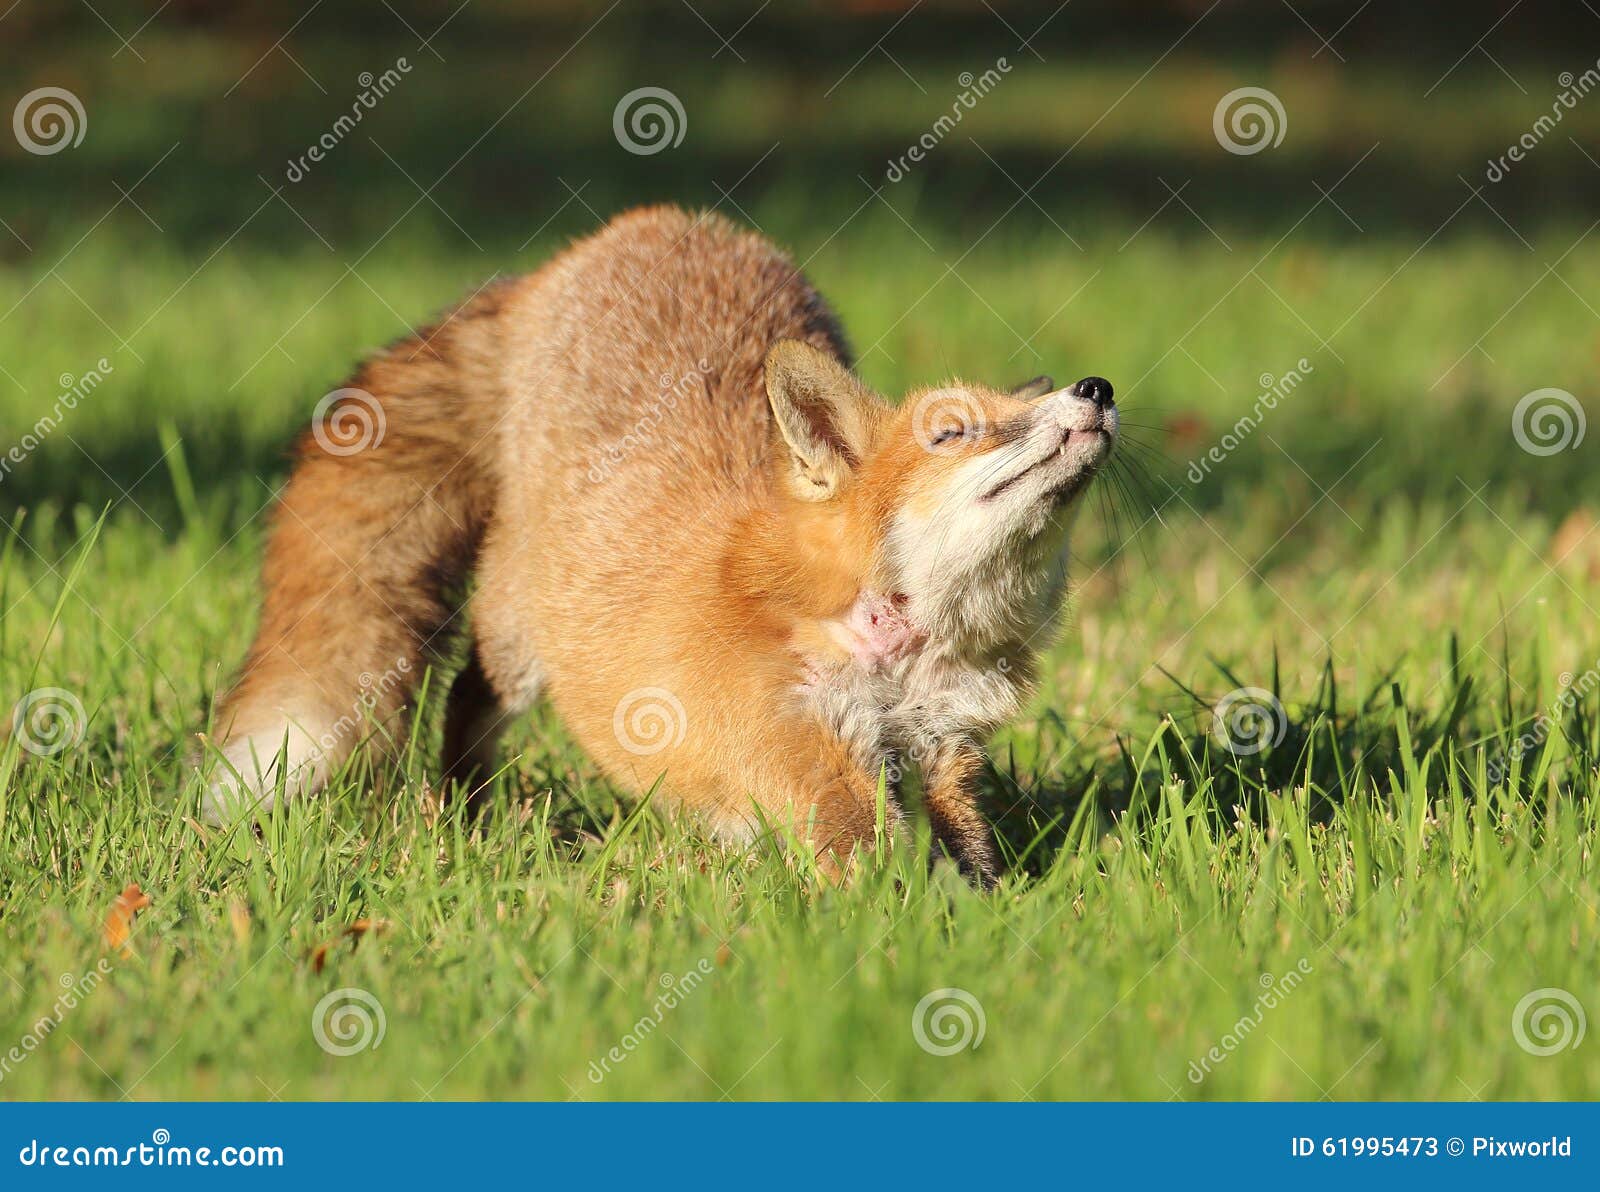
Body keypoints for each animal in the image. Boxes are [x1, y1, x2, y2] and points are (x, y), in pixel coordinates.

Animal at [200, 205, 1118, 886]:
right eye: (953, 431)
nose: (1097, 387)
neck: (896, 653)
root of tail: (610, 237)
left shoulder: (941, 748)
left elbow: (967, 850)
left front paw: (991, 911)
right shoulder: (786, 740)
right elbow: (870, 845)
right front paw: (915, 914)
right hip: (520, 637)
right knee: (466, 695)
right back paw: (468, 818)